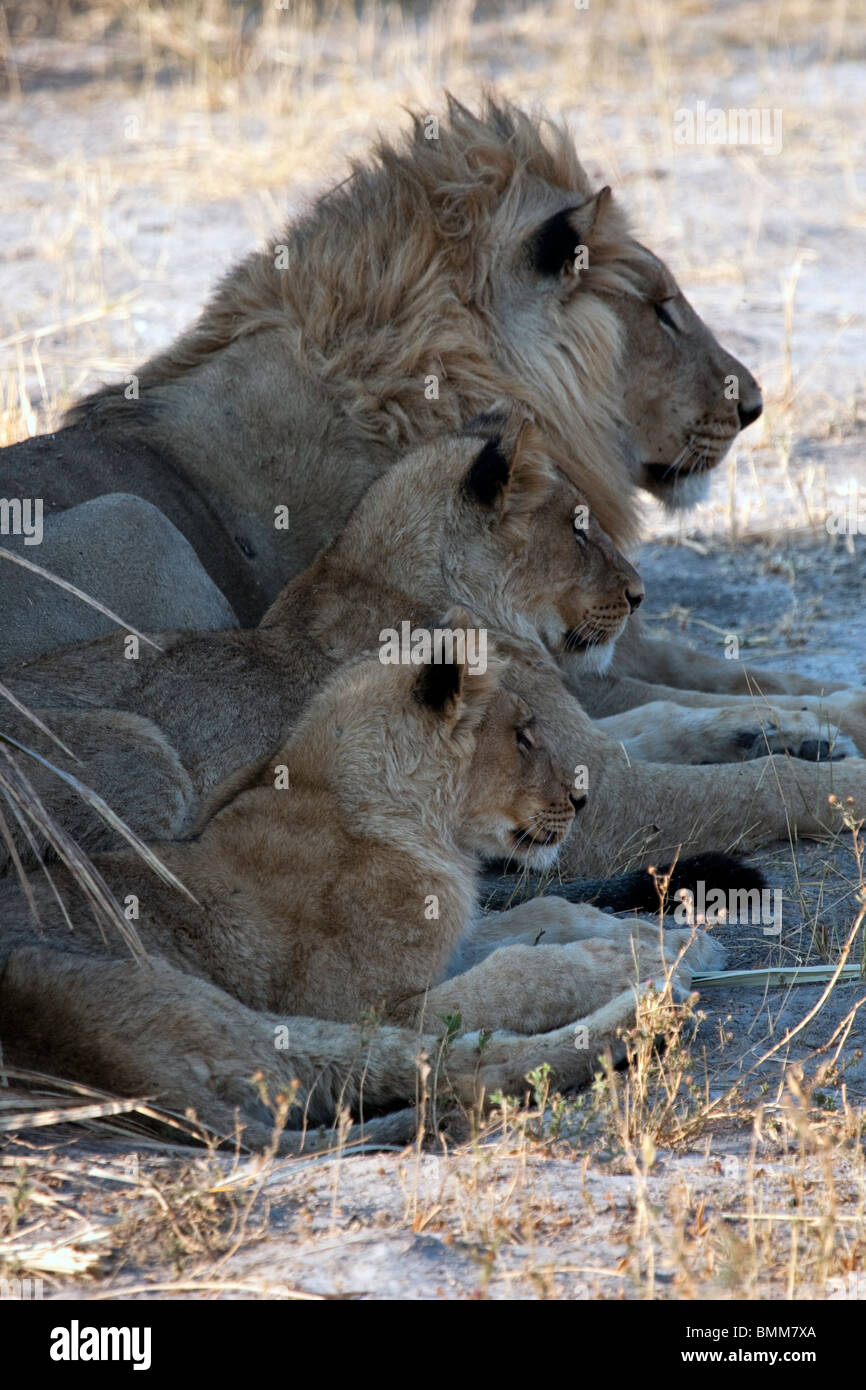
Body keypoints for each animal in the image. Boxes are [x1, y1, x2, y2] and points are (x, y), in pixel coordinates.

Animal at [0, 642, 720, 1151]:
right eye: (523, 736)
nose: (580, 798)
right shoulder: (363, 1000)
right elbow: (515, 972)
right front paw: (642, 957)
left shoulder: (444, 936)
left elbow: (538, 914)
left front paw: (664, 937)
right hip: (225, 1014)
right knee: (453, 1069)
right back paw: (651, 1007)